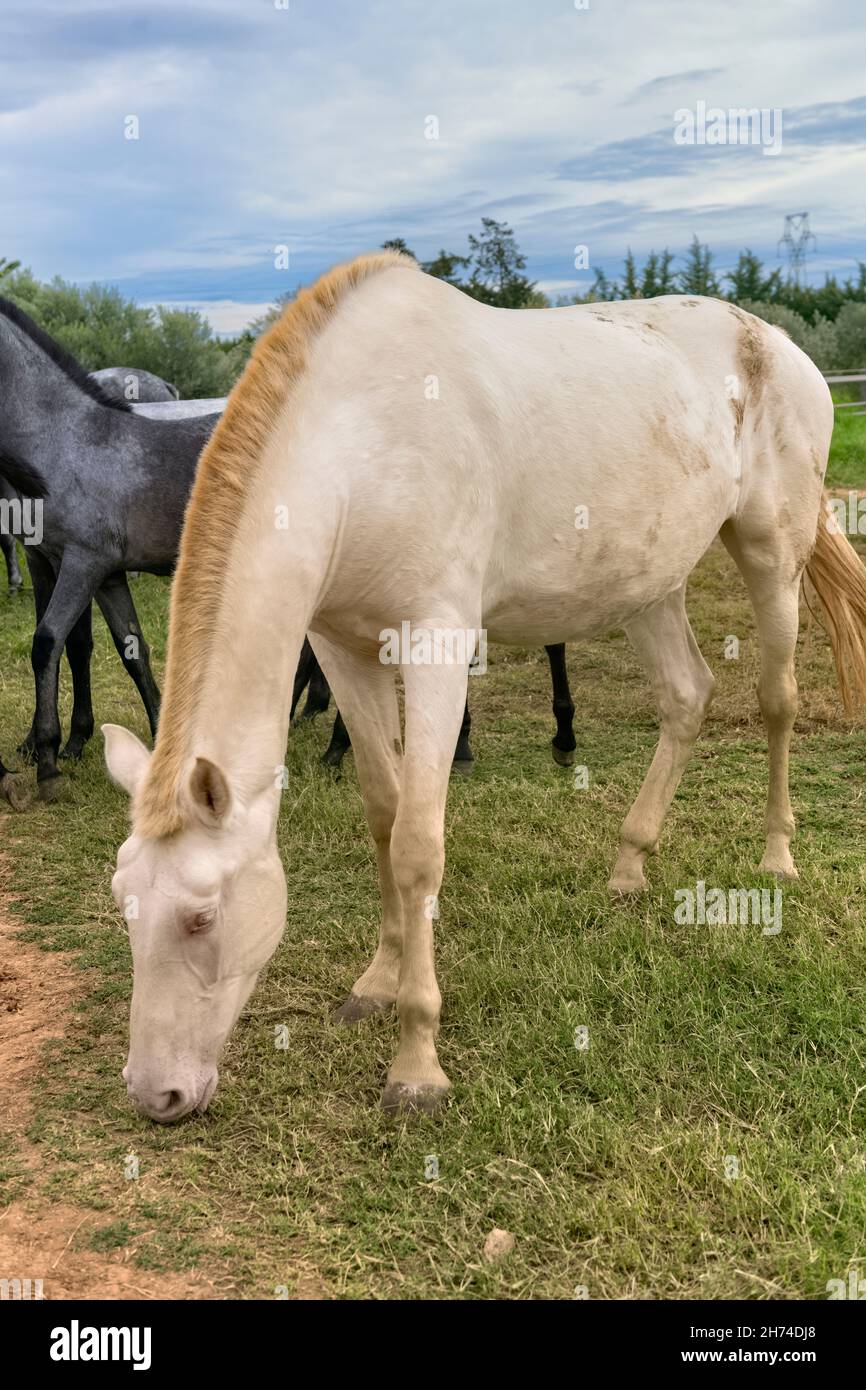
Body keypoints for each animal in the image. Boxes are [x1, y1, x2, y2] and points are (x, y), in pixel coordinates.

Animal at [0, 296, 221, 794]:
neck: (67, 443)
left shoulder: (83, 564)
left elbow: (48, 642)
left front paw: (48, 762)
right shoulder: (95, 572)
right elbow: (129, 649)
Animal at [103, 251, 864, 1124]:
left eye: (201, 918)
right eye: (122, 902)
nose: (155, 1093)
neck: (366, 444)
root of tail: (780, 345)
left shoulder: (435, 646)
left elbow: (417, 844)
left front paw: (416, 1064)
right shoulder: (342, 648)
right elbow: (382, 812)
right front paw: (377, 981)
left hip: (774, 553)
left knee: (778, 700)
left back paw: (777, 855)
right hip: (649, 585)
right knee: (686, 696)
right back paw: (629, 865)